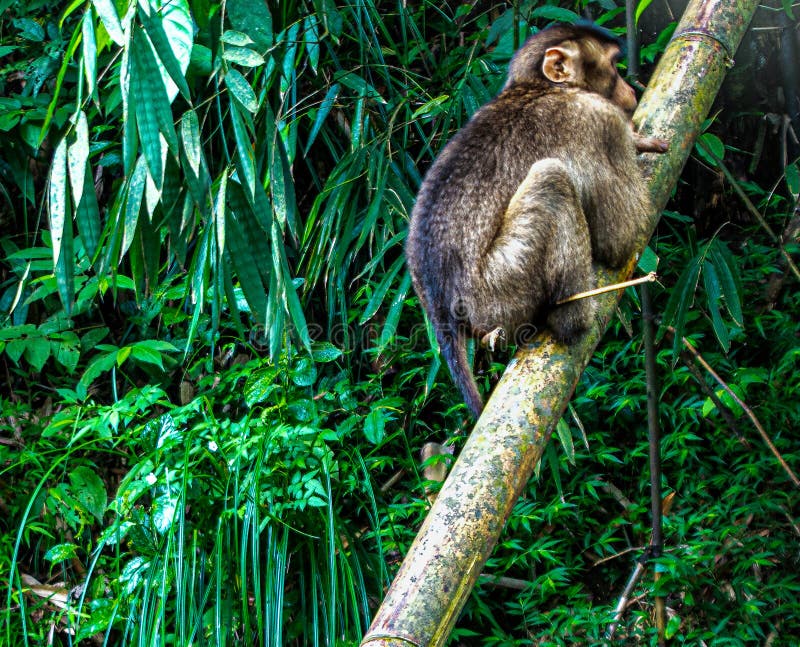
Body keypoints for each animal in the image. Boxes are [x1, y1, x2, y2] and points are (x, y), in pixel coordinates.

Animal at [405, 23, 668, 418]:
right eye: (613, 65)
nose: (630, 89)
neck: (538, 86)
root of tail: (440, 309)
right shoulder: (598, 118)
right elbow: (621, 238)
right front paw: (640, 144)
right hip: (502, 290)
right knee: (552, 180)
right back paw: (574, 319)